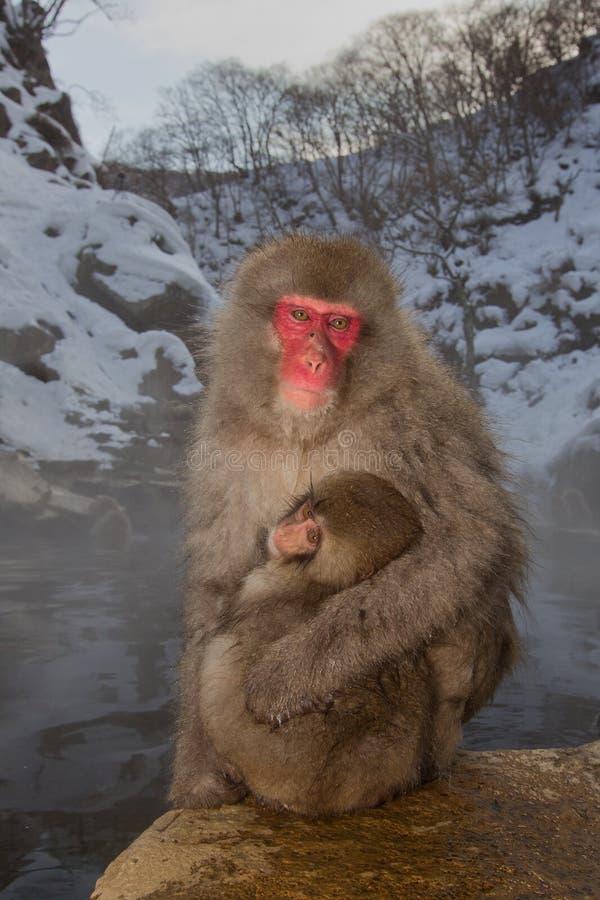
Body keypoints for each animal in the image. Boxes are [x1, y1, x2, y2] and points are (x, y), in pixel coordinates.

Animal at [169, 234, 527, 809]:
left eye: (340, 324)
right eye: (298, 315)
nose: (316, 360)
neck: (307, 428)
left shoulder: (409, 421)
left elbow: (468, 543)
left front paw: (284, 677)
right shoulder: (224, 436)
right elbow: (218, 578)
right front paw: (199, 774)